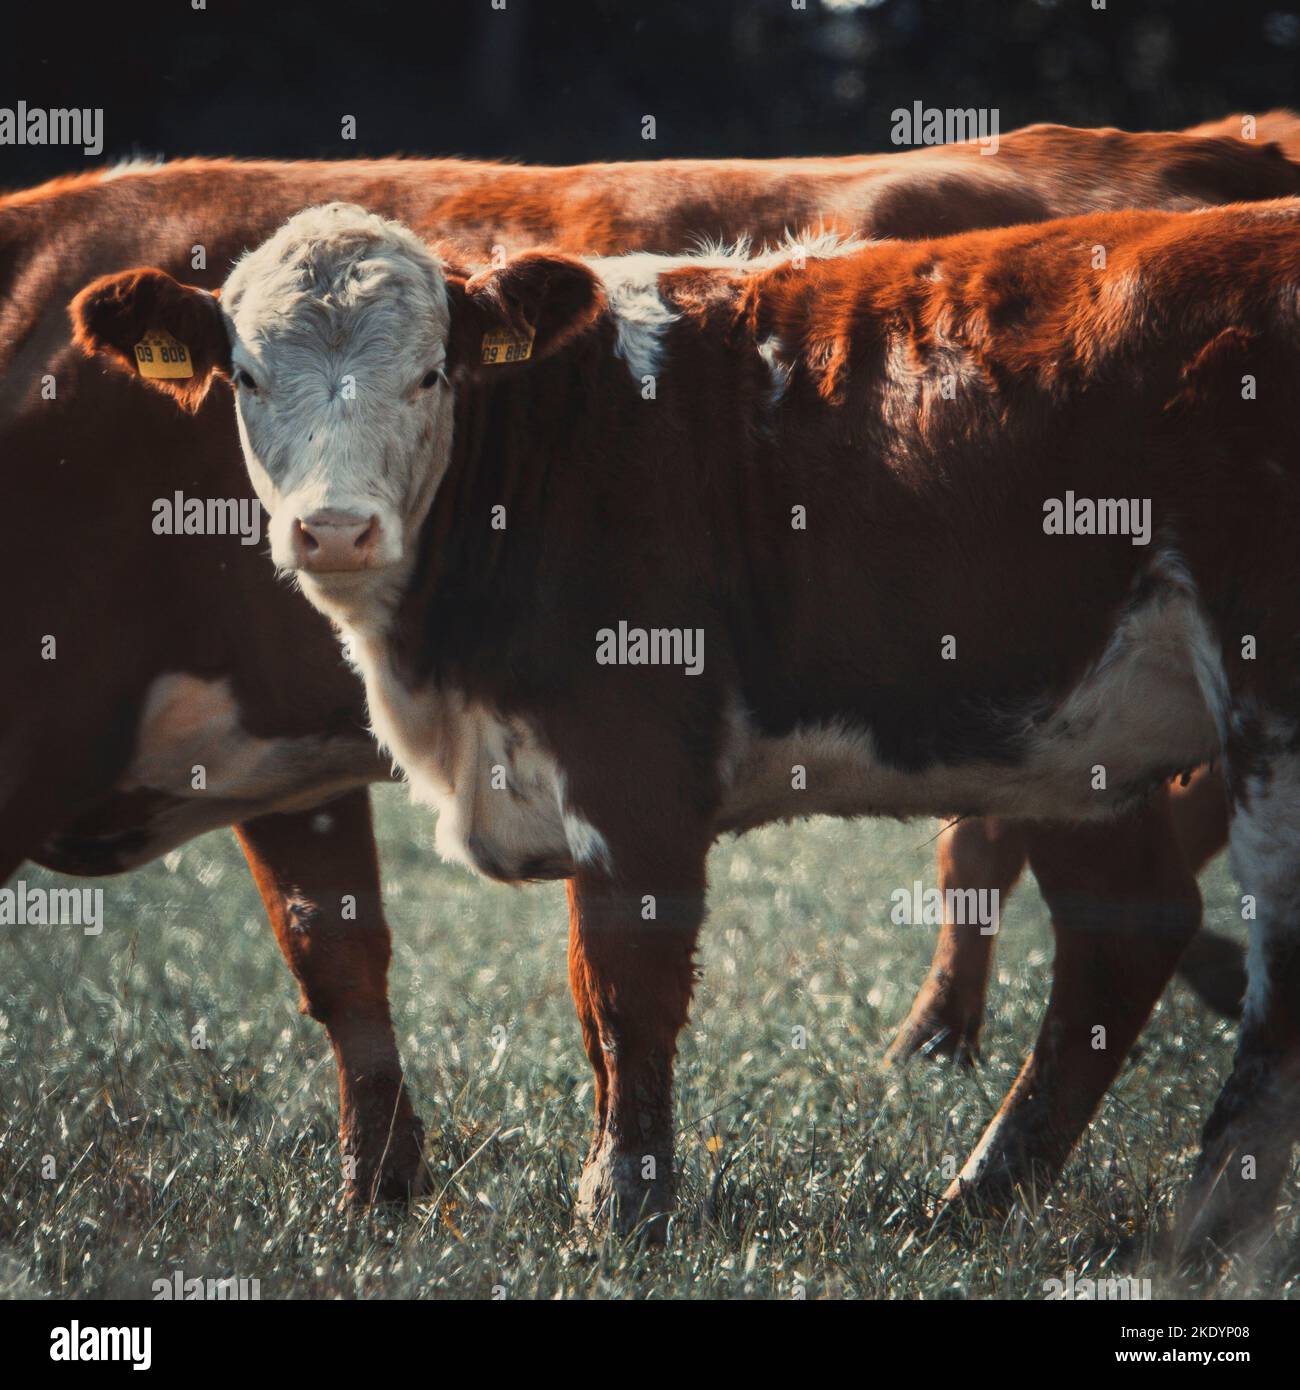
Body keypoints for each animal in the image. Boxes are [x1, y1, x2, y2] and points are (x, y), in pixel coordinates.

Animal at [7, 116, 1294, 1210]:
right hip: (1068, 730)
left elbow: (623, 987)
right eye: (248, 375)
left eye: (428, 373)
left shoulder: (626, 760)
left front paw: (619, 1207)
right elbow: (350, 962)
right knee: (1121, 924)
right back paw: (977, 1198)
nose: (331, 530)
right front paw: (380, 1194)